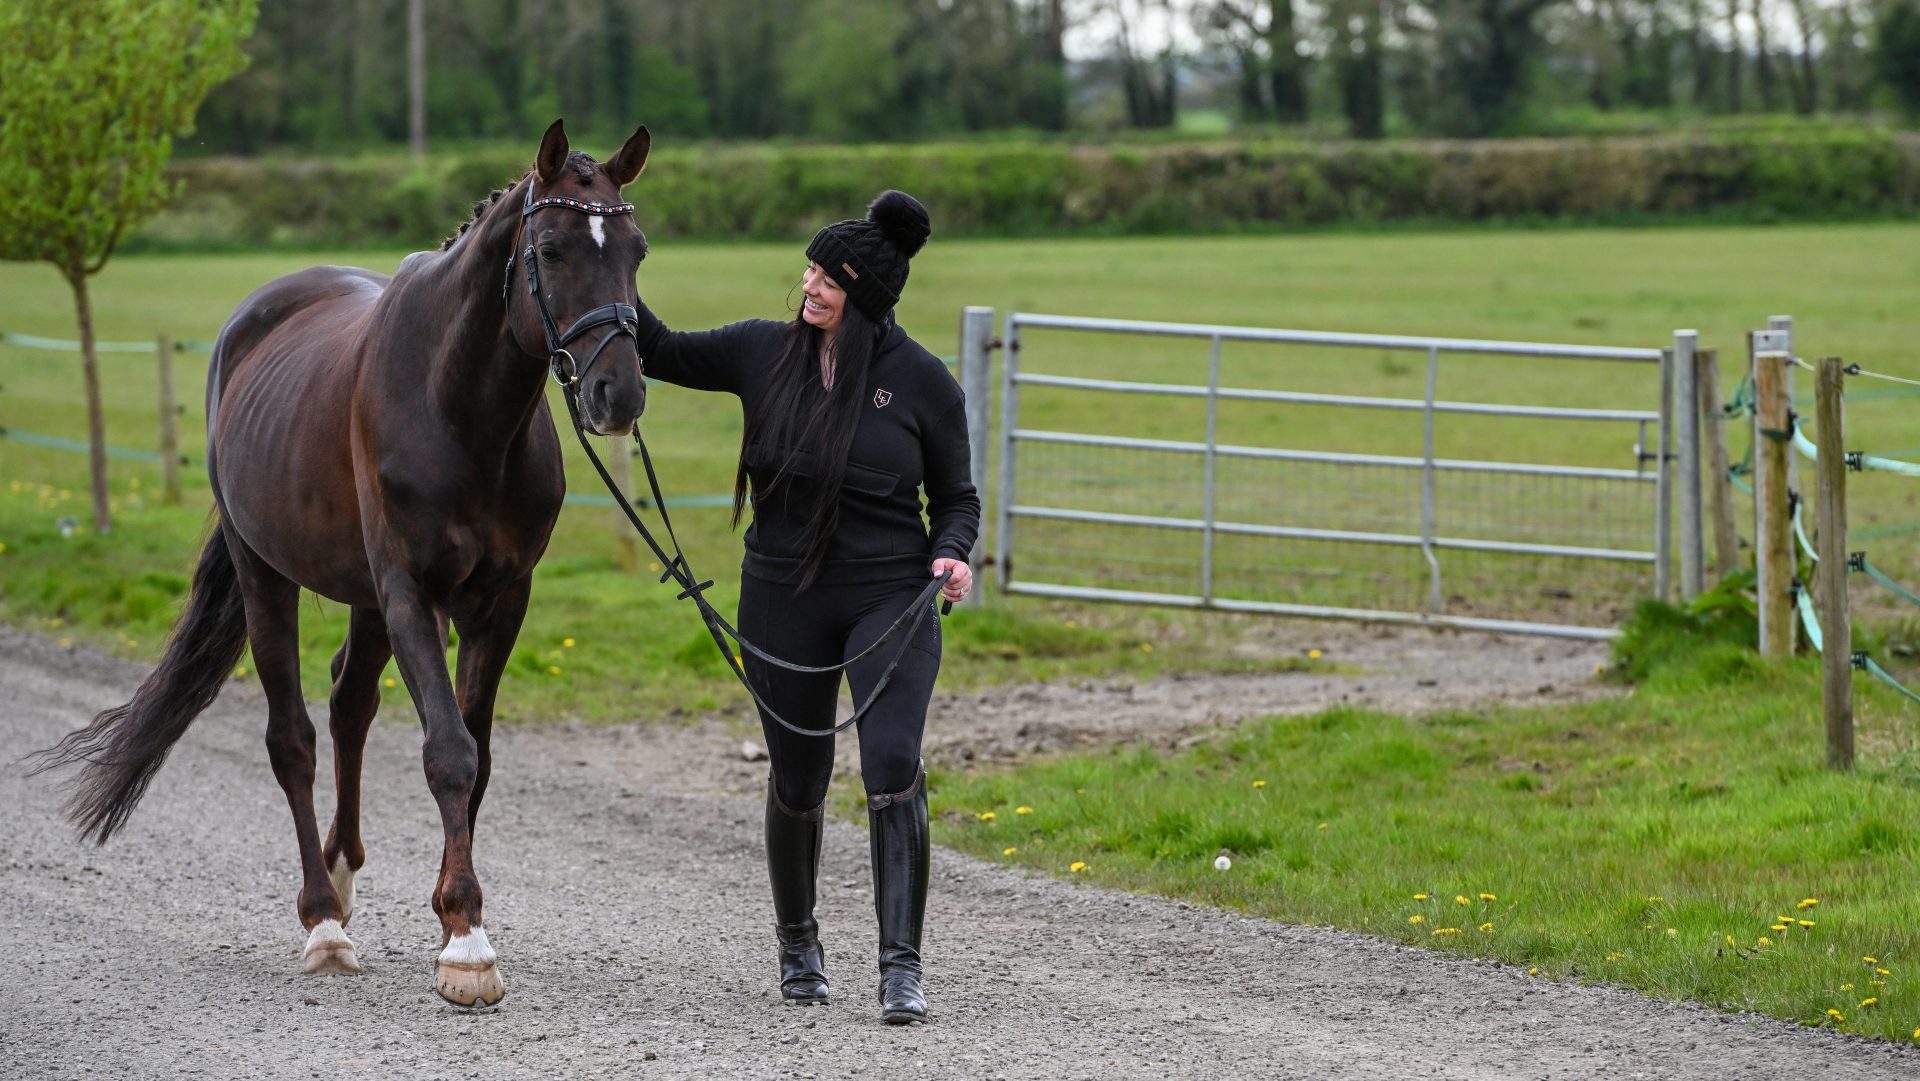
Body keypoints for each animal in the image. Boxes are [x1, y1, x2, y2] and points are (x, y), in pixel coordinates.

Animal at [29, 119, 652, 1007]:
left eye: (636, 249)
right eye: (554, 248)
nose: (618, 394)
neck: (459, 407)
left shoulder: (501, 602)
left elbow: (477, 753)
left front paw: (450, 911)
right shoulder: (410, 593)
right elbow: (448, 752)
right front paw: (467, 940)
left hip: (361, 596)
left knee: (349, 704)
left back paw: (344, 870)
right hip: (268, 573)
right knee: (292, 736)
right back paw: (323, 919)